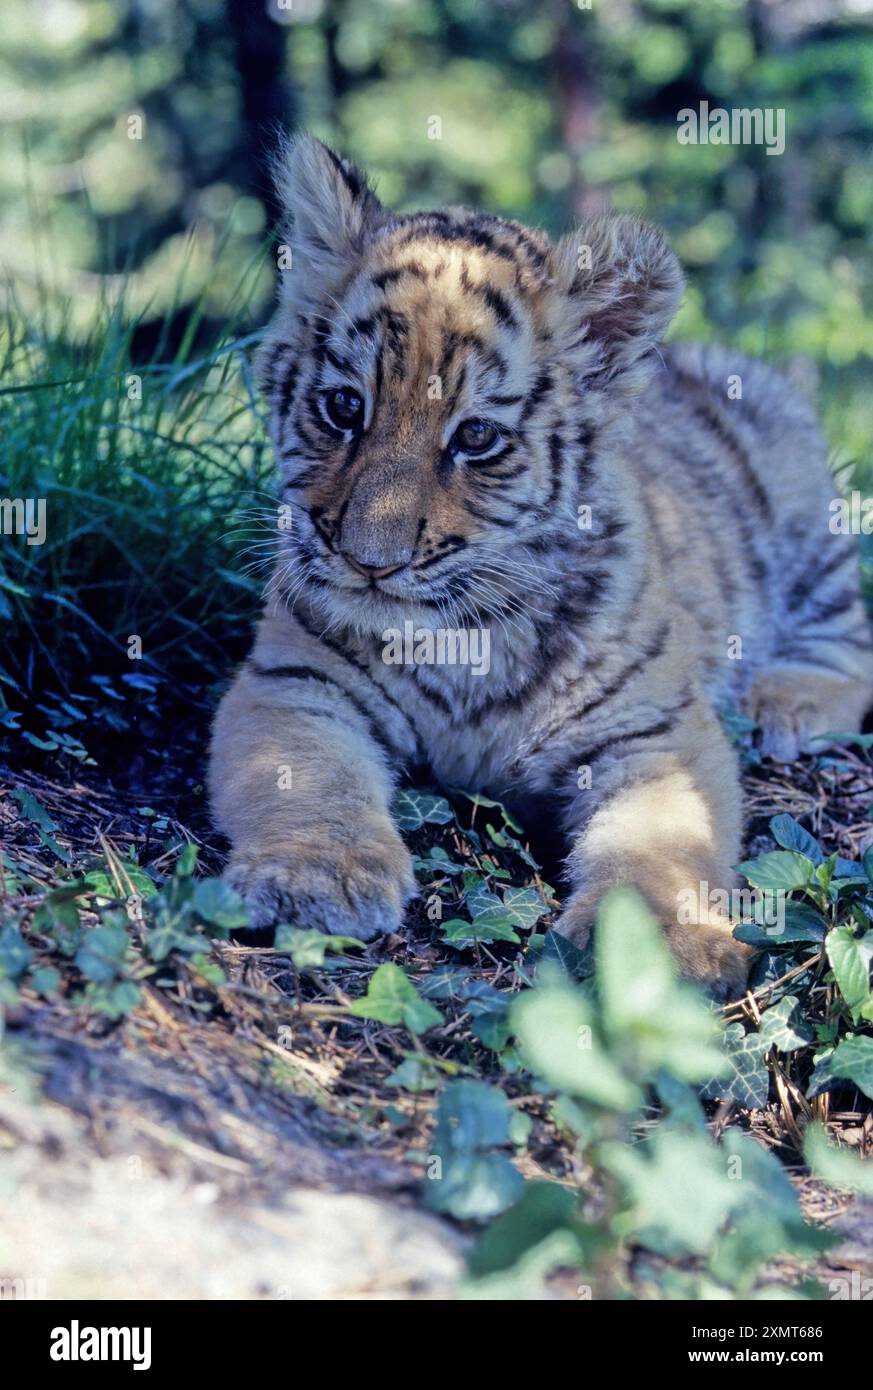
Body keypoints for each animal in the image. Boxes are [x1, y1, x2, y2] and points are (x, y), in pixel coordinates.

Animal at [208, 133, 873, 999]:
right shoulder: (296, 682)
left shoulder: (655, 732)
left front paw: (656, 951)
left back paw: (785, 700)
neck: (460, 631)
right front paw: (316, 876)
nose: (367, 561)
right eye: (344, 407)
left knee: (847, 636)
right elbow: (310, 778)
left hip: (801, 499)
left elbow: (662, 849)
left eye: (476, 438)